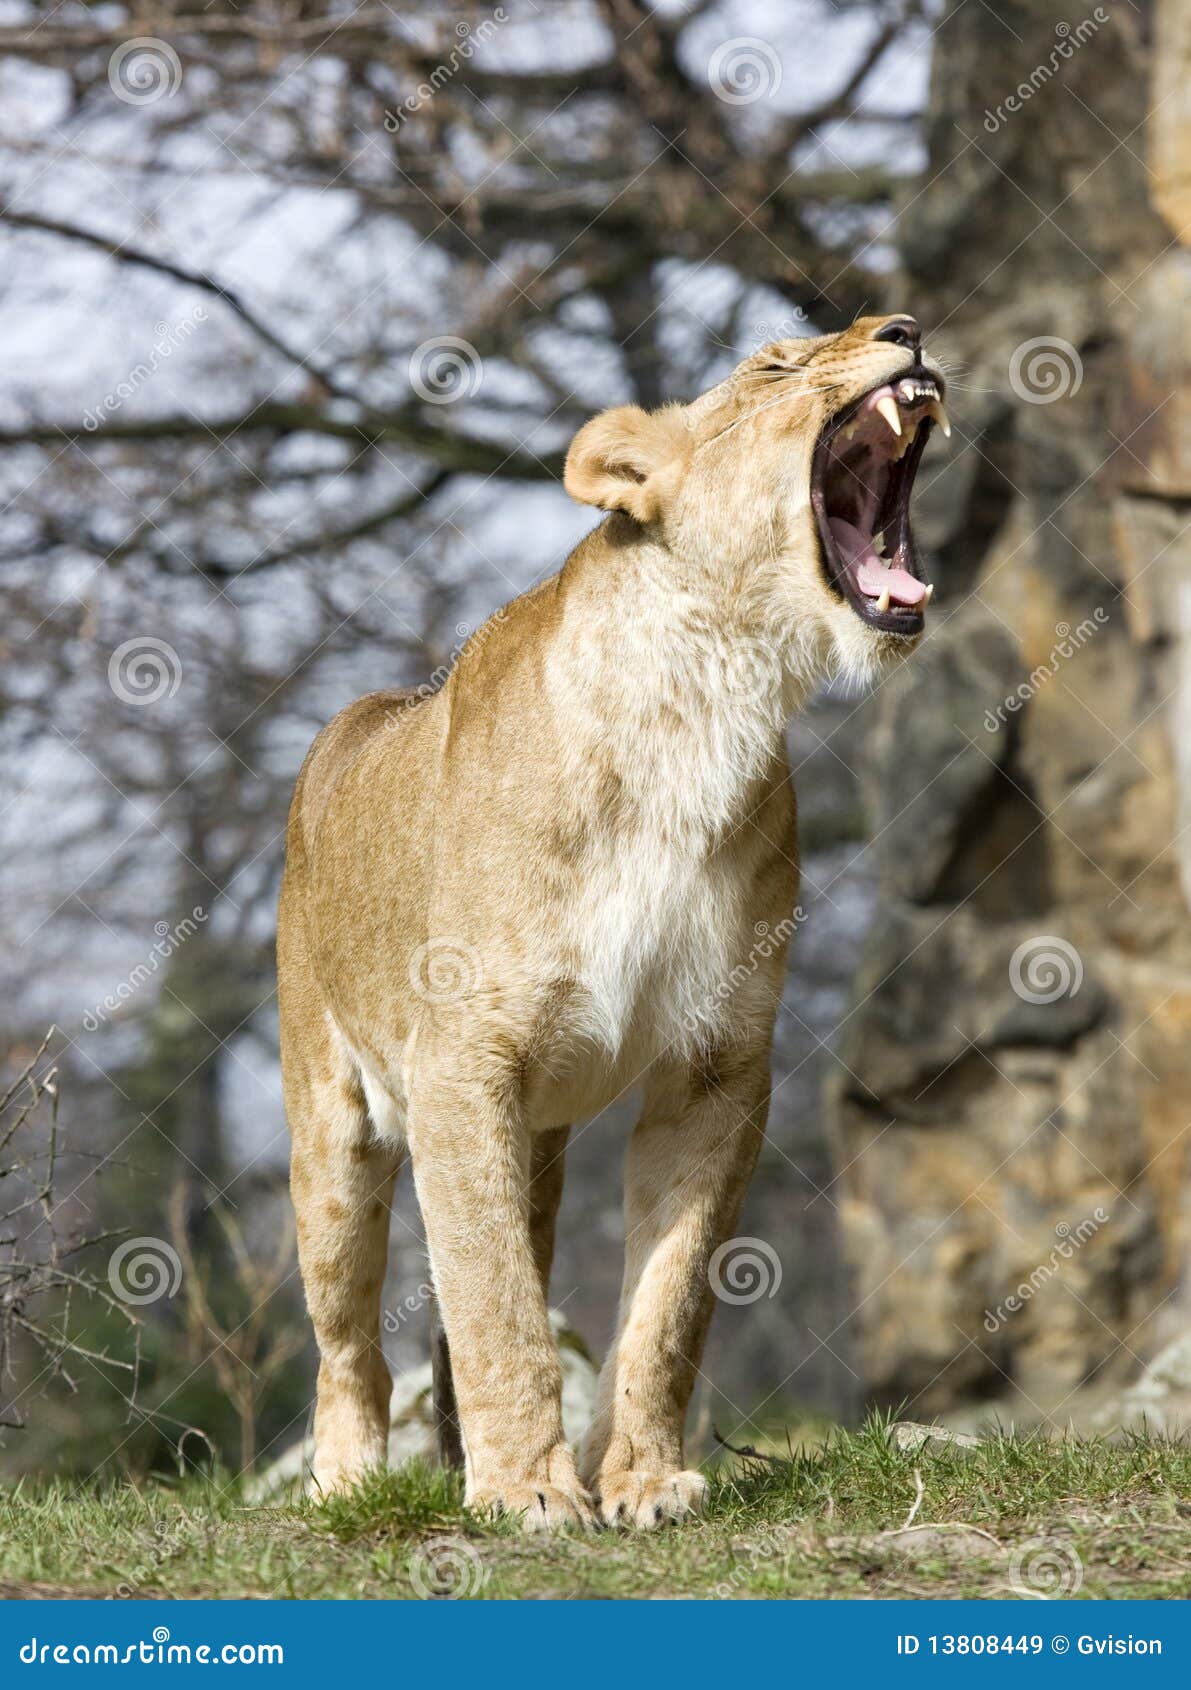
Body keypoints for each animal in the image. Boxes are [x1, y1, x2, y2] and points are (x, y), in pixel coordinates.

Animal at [277, 314, 949, 1531]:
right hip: (333, 1132)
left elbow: (664, 1302)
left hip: (535, 1141)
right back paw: (345, 1482)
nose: (906, 328)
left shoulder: (717, 1063)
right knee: (347, 1340)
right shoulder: (459, 1063)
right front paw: (530, 1494)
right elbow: (495, 1302)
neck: (710, 699)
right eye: (773, 367)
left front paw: (639, 1479)